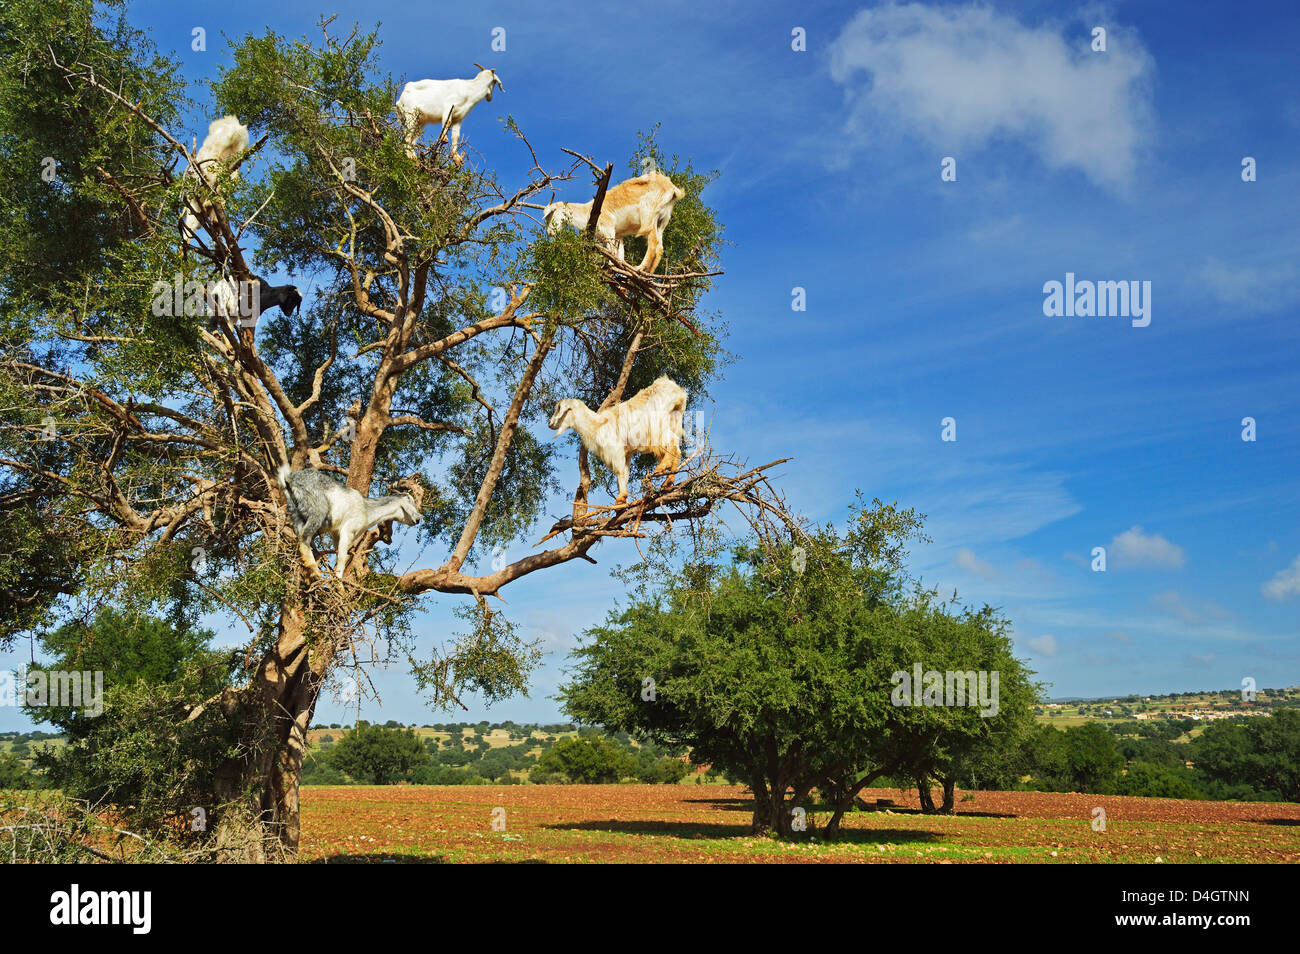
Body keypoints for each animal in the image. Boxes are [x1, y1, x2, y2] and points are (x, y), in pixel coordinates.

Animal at [275, 465, 420, 576]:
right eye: (410, 500)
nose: (418, 518)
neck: (366, 509)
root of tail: (290, 479)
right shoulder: (348, 531)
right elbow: (342, 559)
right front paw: (339, 583)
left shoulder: (335, 534)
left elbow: (339, 554)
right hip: (317, 512)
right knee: (304, 537)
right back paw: (314, 574)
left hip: (295, 513)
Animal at [542, 172, 686, 274]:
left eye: (549, 215)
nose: (549, 233)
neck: (588, 210)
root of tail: (672, 188)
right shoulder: (618, 236)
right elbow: (620, 255)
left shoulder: (608, 229)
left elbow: (611, 252)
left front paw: (610, 267)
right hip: (661, 222)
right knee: (660, 247)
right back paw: (648, 275)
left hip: (648, 216)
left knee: (653, 243)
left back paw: (639, 269)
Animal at [548, 376, 688, 505]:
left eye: (559, 408)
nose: (550, 424)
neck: (597, 424)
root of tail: (677, 392)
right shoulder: (626, 453)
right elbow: (625, 473)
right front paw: (623, 497)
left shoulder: (615, 450)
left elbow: (620, 472)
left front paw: (621, 498)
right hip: (673, 423)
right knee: (677, 450)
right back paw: (668, 481)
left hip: (657, 427)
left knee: (671, 445)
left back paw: (661, 467)